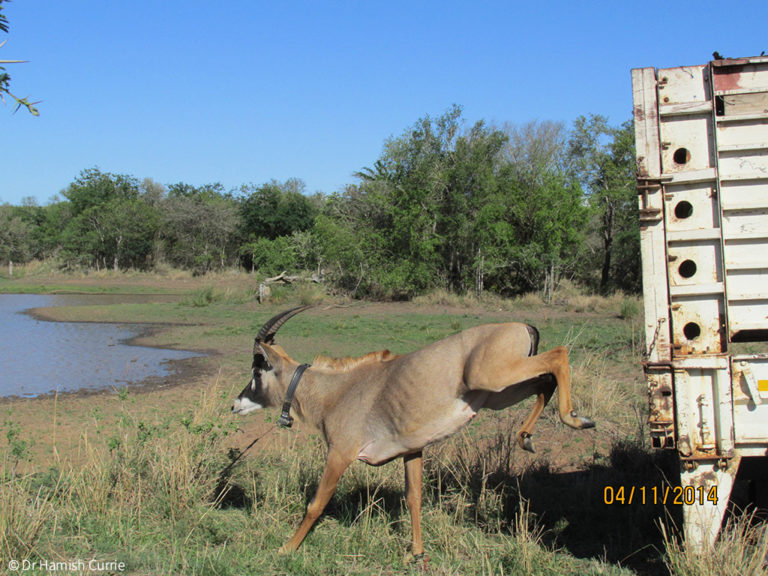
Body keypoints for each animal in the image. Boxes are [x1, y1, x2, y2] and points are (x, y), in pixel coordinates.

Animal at [232, 306, 594, 556]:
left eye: (257, 370)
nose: (236, 404)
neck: (335, 391)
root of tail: (522, 326)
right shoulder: (412, 450)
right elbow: (414, 497)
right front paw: (417, 552)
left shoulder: (339, 453)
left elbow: (316, 503)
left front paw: (286, 548)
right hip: (502, 392)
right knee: (545, 382)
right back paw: (527, 437)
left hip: (495, 378)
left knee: (558, 356)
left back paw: (576, 420)